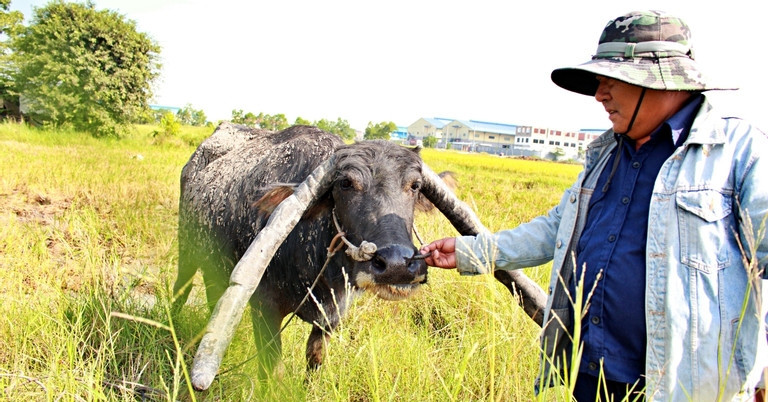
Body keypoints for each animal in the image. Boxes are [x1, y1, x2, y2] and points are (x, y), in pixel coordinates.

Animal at [173, 123, 545, 390]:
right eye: (345, 184)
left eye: (414, 186)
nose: (397, 265)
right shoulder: (264, 310)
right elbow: (273, 374)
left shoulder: (331, 318)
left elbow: (315, 360)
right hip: (186, 249)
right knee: (181, 288)